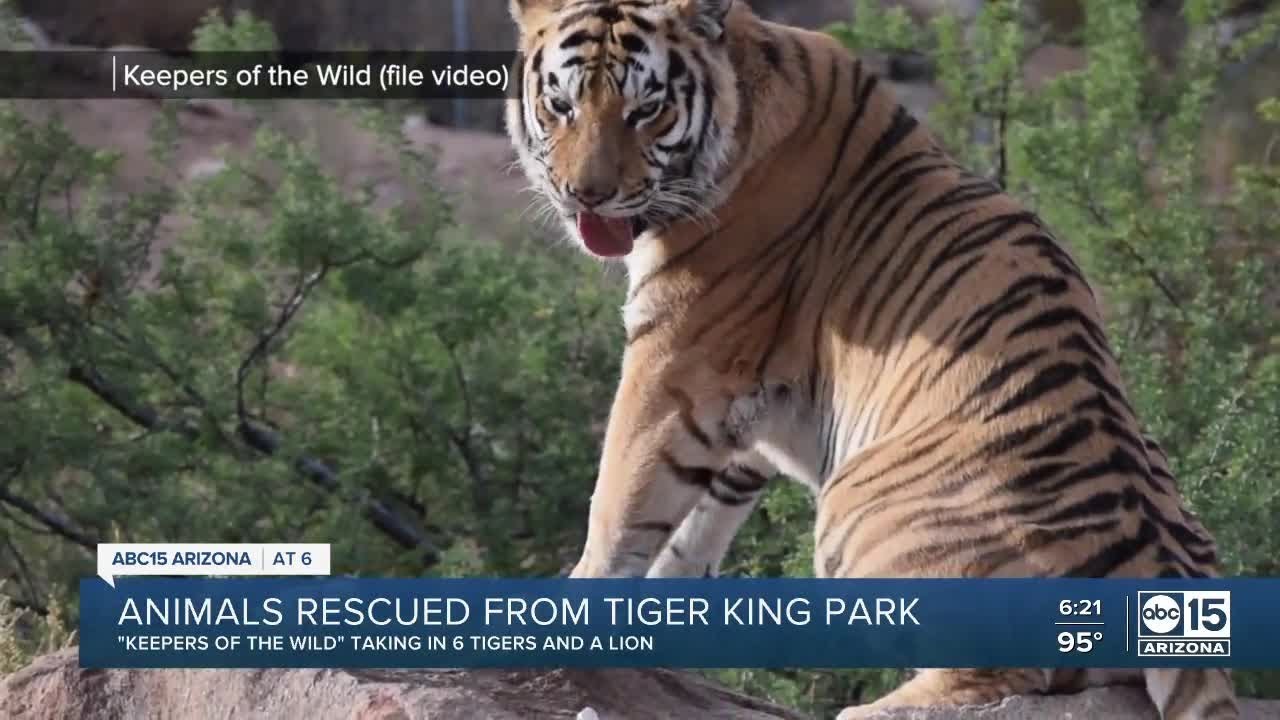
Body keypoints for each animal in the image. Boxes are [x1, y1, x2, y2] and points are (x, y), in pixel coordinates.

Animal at [504, 1, 1239, 718]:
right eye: (562, 106)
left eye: (645, 110)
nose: (585, 195)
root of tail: (1159, 565)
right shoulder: (749, 408)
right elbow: (697, 521)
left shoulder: (677, 364)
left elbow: (621, 499)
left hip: (857, 503)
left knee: (999, 674)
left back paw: (868, 711)